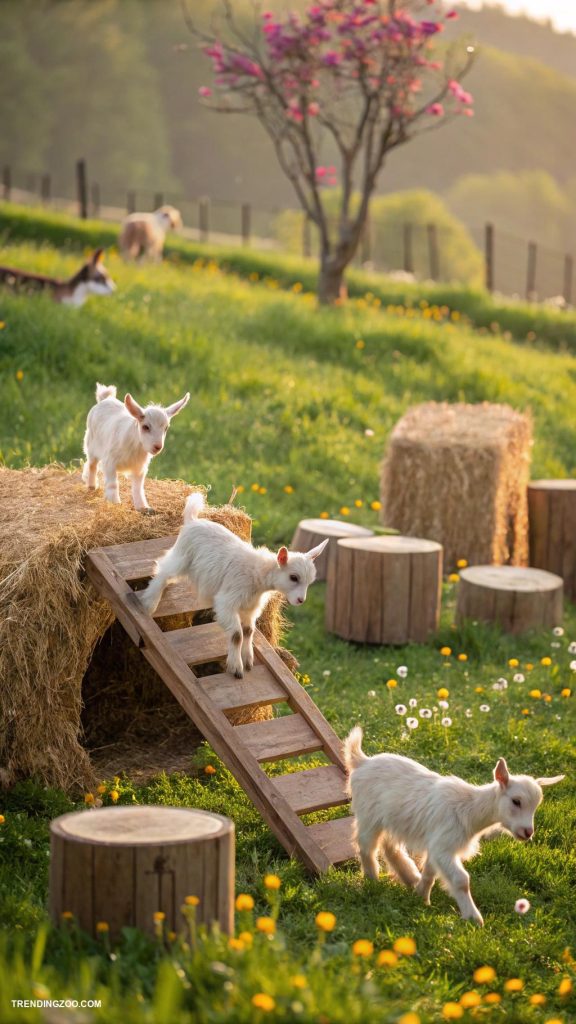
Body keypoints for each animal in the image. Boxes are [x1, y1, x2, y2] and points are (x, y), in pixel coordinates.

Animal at [140, 492, 328, 677]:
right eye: (293, 577)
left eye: (310, 581)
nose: (301, 600)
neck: (257, 575)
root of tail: (192, 520)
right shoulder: (227, 602)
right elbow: (237, 634)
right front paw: (236, 667)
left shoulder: (250, 608)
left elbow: (248, 631)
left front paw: (248, 659)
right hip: (182, 557)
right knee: (163, 569)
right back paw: (149, 602)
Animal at [344, 726, 564, 926]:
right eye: (516, 801)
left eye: (536, 805)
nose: (527, 832)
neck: (469, 809)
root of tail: (363, 761)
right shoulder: (444, 844)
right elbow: (461, 880)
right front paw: (473, 918)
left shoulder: (437, 846)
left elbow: (430, 873)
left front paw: (421, 898)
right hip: (368, 815)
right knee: (366, 846)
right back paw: (372, 881)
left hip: (394, 820)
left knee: (390, 847)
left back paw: (410, 877)